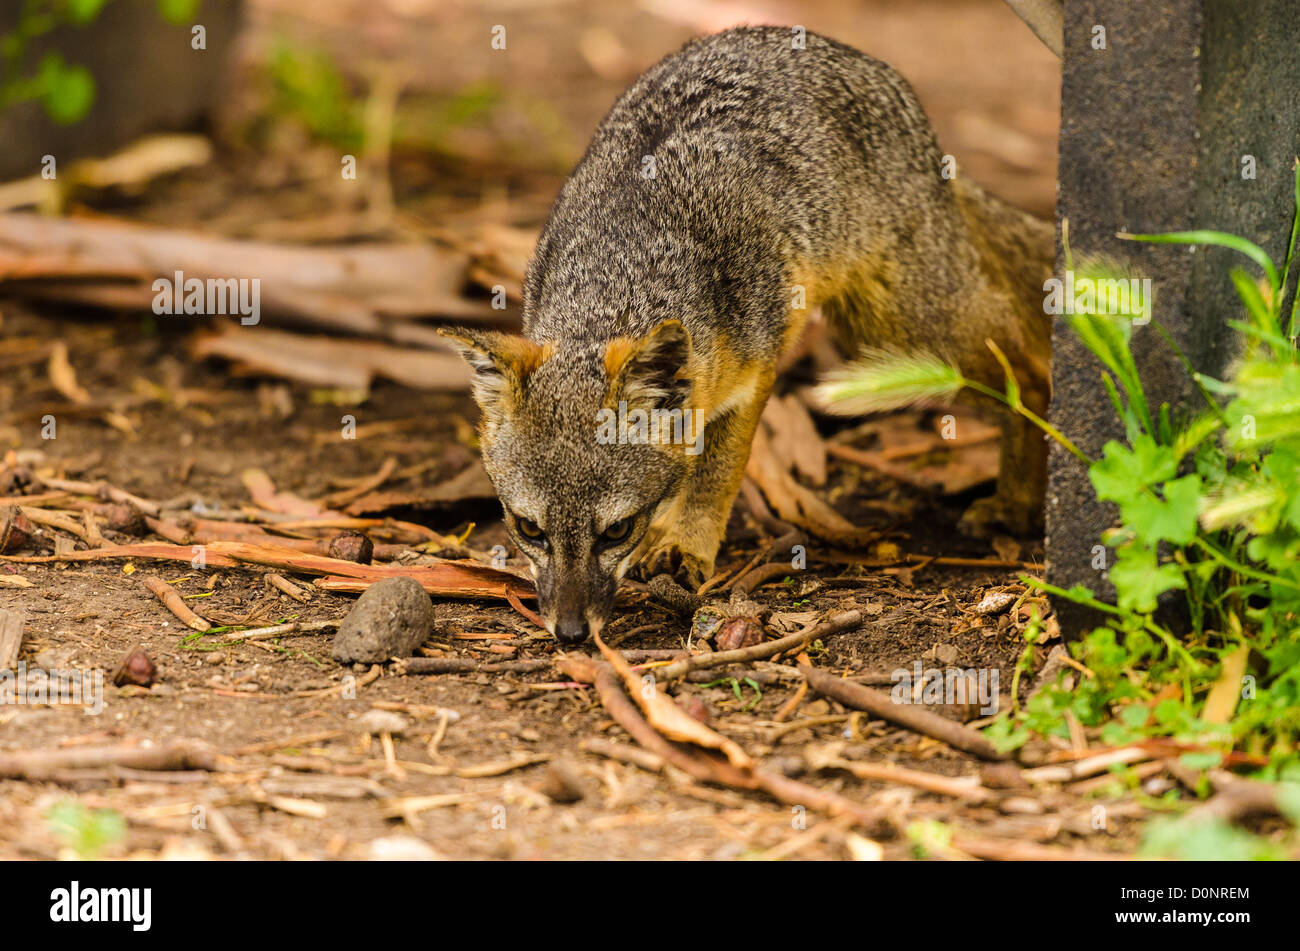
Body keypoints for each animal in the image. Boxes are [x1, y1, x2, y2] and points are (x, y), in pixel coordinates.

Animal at [444, 26, 1052, 645]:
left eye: (616, 530)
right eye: (529, 528)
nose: (569, 632)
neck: (623, 266)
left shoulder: (753, 375)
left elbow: (715, 474)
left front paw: (686, 544)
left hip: (904, 328)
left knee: (1028, 374)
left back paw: (1016, 505)